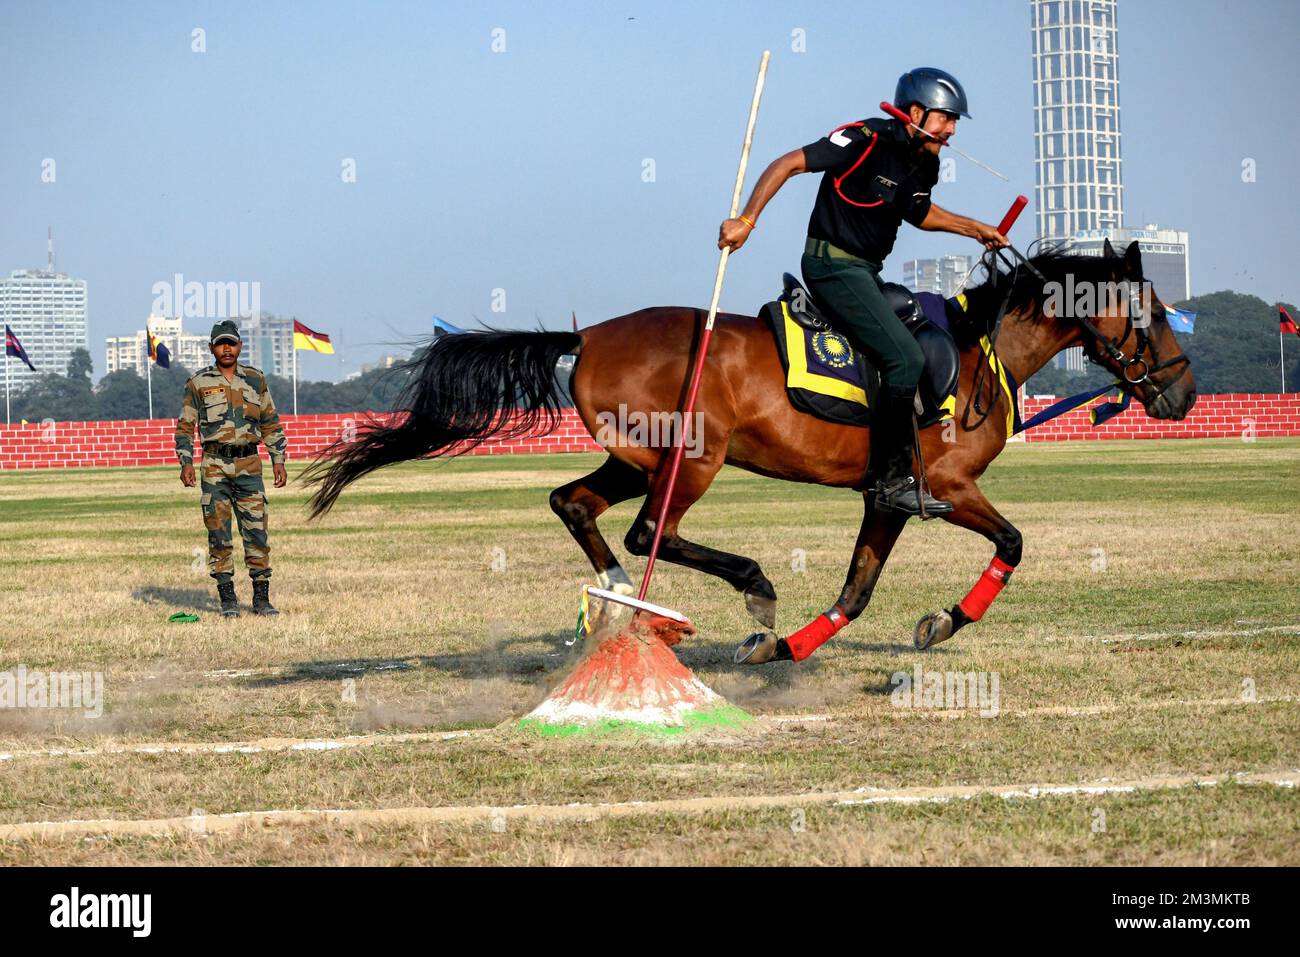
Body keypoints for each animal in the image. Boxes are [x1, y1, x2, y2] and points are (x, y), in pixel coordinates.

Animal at [304, 239, 1195, 662]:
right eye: (1152, 313)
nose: (1183, 396)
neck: (981, 351)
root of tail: (589, 335)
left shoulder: (886, 494)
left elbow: (857, 589)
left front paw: (790, 646)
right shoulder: (943, 485)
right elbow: (1011, 540)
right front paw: (945, 620)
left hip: (638, 460)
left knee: (575, 503)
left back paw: (621, 599)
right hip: (692, 460)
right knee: (644, 531)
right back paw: (745, 587)